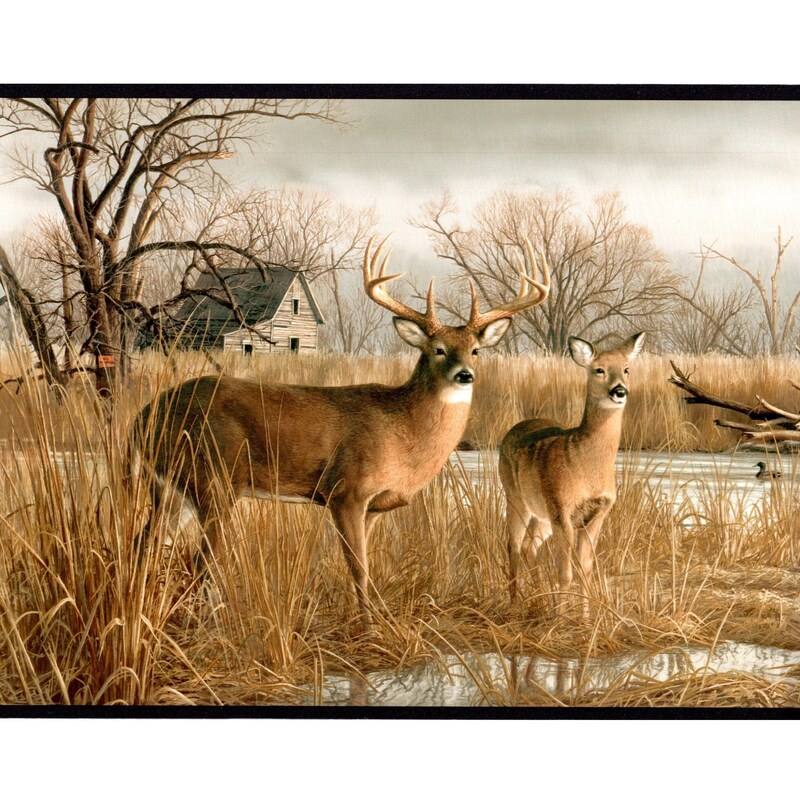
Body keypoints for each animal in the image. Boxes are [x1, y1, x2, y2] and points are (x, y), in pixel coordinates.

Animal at [130, 236, 550, 630]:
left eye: (476, 350)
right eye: (438, 349)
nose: (465, 375)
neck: (402, 432)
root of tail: (143, 416)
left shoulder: (374, 506)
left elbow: (364, 567)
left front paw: (370, 617)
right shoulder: (346, 490)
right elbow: (358, 567)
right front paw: (369, 627)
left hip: (172, 486)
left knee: (147, 543)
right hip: (213, 479)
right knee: (199, 559)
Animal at [499, 331, 645, 616]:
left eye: (626, 369)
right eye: (599, 370)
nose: (619, 390)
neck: (587, 467)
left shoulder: (598, 513)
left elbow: (585, 568)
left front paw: (586, 617)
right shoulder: (562, 508)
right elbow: (565, 571)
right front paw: (561, 618)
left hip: (542, 513)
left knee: (529, 545)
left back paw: (539, 599)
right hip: (517, 498)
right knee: (512, 545)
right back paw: (515, 604)